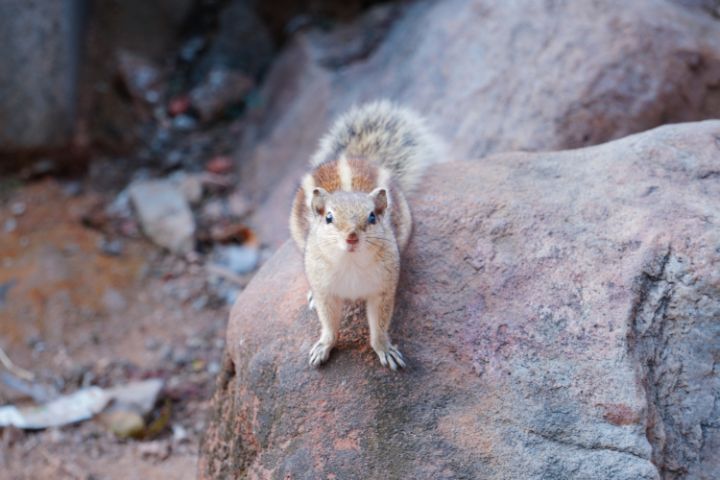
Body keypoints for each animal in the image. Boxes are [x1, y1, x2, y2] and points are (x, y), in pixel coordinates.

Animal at [289, 100, 443, 369]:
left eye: (372, 217)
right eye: (328, 218)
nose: (351, 236)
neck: (351, 262)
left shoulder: (381, 289)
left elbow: (379, 325)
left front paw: (385, 349)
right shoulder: (326, 290)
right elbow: (328, 323)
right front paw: (323, 346)